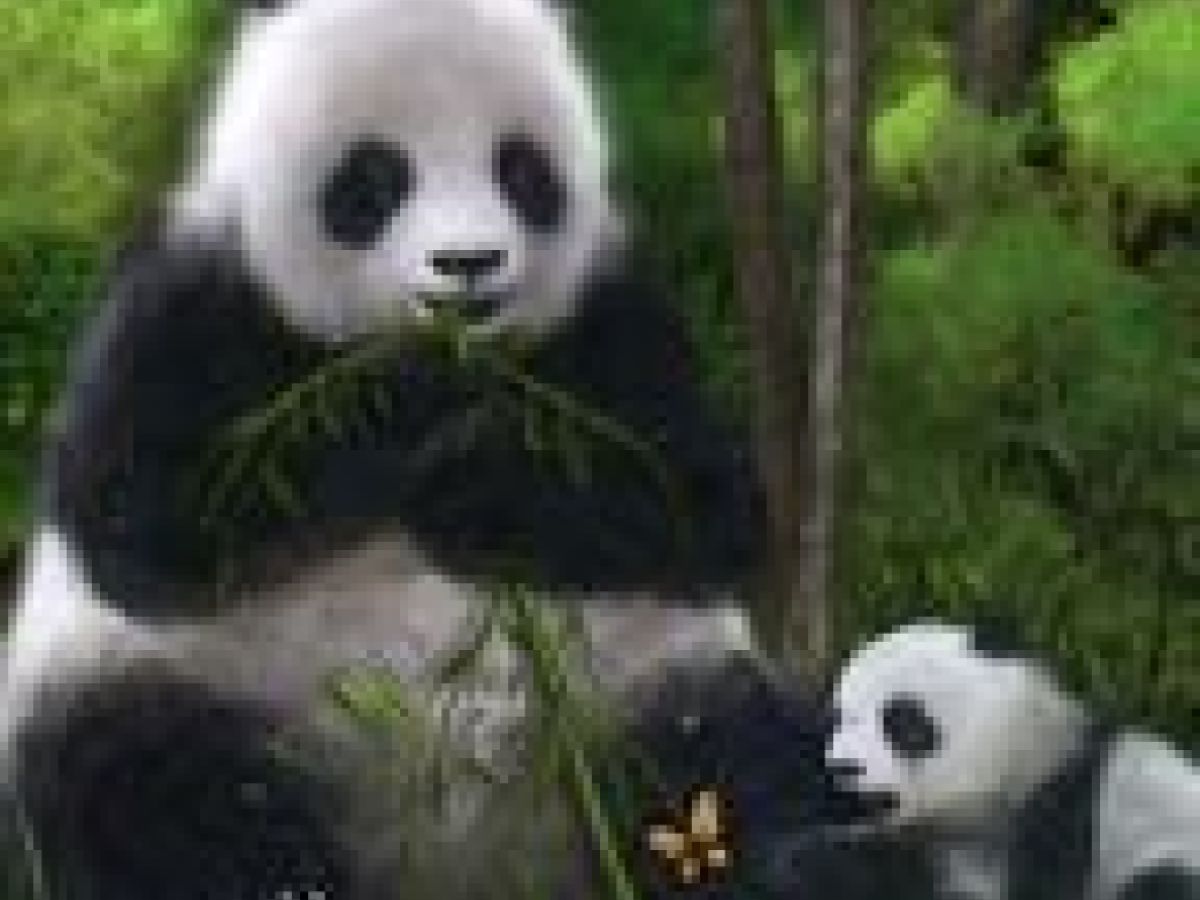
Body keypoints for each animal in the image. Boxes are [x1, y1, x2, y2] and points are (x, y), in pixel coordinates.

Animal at [0, 0, 780, 896]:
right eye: (376, 177)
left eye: (521, 170)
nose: (469, 263)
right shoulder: (193, 293)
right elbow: (139, 513)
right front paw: (413, 406)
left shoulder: (614, 310)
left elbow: (707, 501)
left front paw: (486, 484)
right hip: (177, 686)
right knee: (163, 800)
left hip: (634, 693)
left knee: (743, 764)